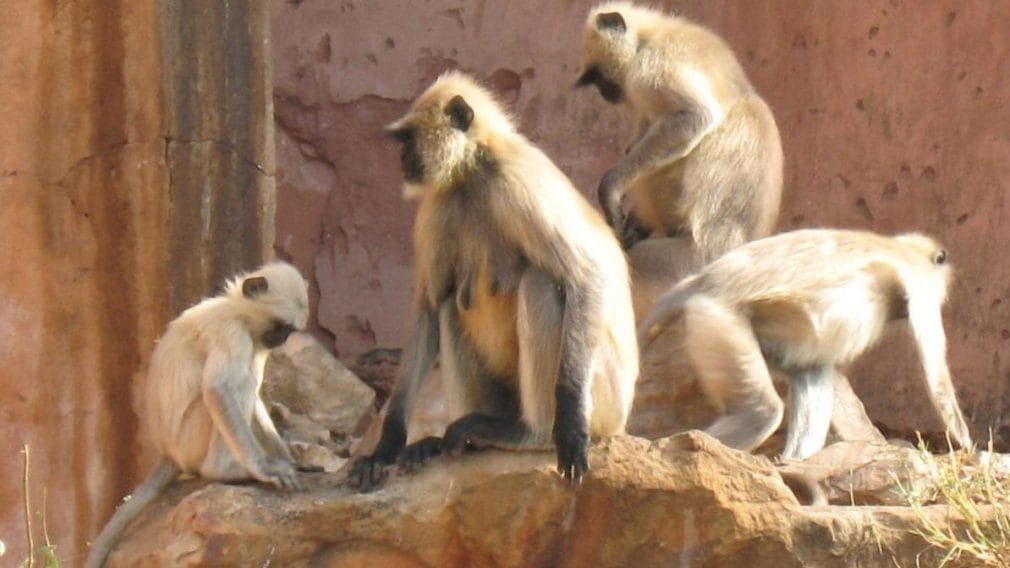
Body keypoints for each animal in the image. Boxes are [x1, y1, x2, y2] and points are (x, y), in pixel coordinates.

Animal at [85, 262, 313, 568]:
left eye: (289, 330)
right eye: (280, 327)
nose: (282, 339)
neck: (235, 310)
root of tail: (169, 453)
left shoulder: (255, 342)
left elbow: (253, 396)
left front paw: (288, 459)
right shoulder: (232, 332)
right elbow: (218, 389)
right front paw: (264, 469)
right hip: (190, 439)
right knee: (235, 385)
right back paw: (223, 470)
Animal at [350, 71, 639, 490]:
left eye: (408, 140)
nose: (401, 160)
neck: (472, 174)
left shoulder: (517, 181)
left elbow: (589, 276)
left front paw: (570, 427)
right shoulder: (439, 203)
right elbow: (428, 307)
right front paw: (385, 447)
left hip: (604, 402)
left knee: (541, 282)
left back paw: (534, 433)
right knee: (449, 305)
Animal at [576, 2, 783, 265]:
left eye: (600, 77)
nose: (604, 92)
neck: (648, 35)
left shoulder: (651, 65)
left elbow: (694, 117)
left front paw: (609, 188)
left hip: (684, 258)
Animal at [638, 229, 973, 461]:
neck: (898, 248)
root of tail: (704, 280)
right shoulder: (921, 283)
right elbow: (936, 378)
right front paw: (969, 450)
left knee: (812, 371)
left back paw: (793, 463)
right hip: (719, 321)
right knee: (762, 412)